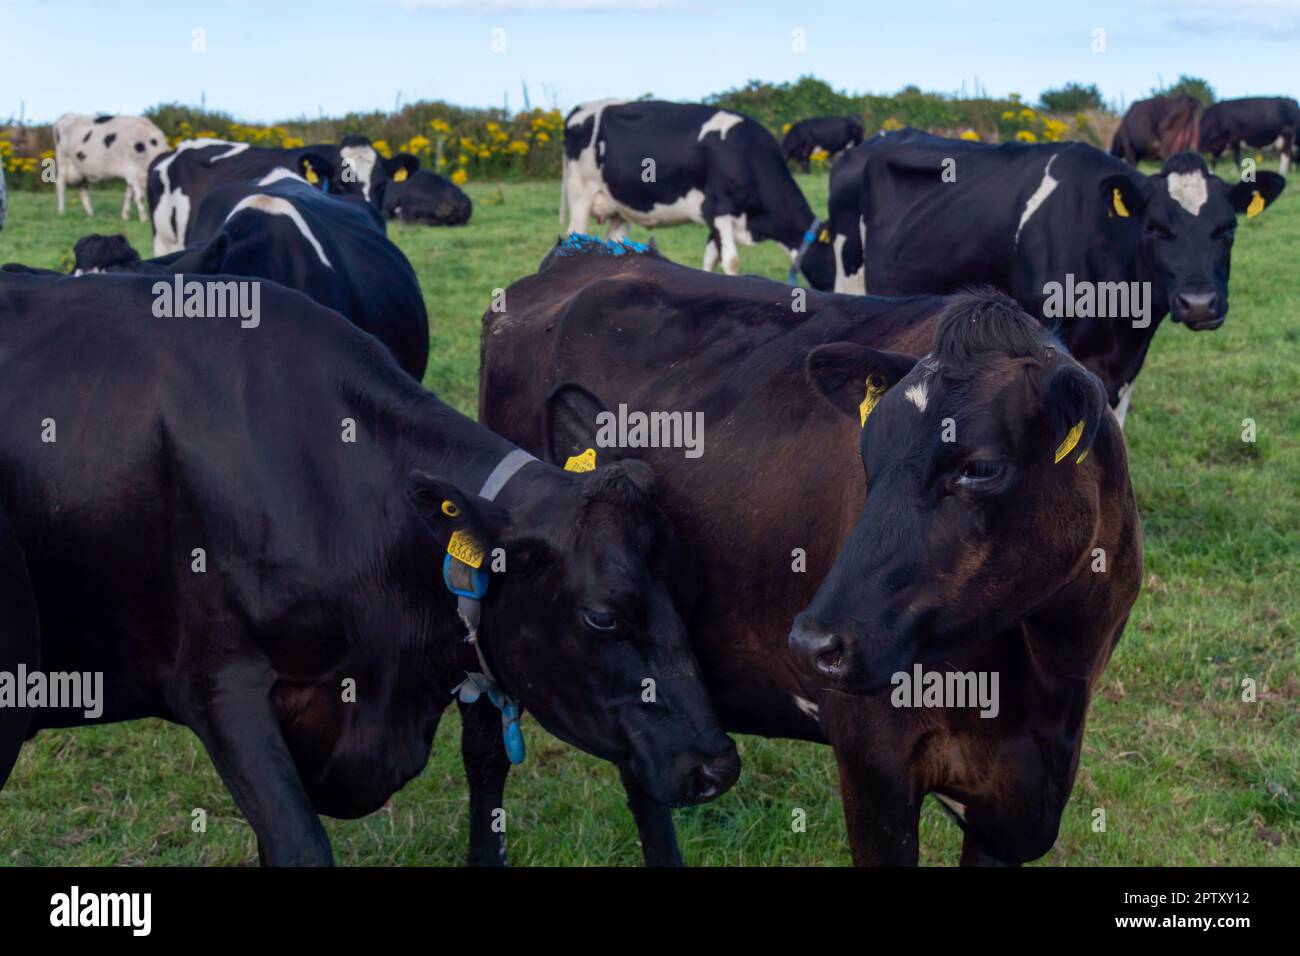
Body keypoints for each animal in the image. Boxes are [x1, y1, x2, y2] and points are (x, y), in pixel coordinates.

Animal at [480, 238, 1142, 866]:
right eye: (867, 453)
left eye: (981, 467)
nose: (811, 644)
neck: (1046, 680)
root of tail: (578, 258)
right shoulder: (873, 756)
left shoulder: (1015, 804)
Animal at [561, 100, 823, 280]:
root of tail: (581, 108)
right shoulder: (718, 209)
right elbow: (732, 261)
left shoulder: (716, 220)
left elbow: (710, 258)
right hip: (580, 195)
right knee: (575, 233)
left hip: (620, 210)